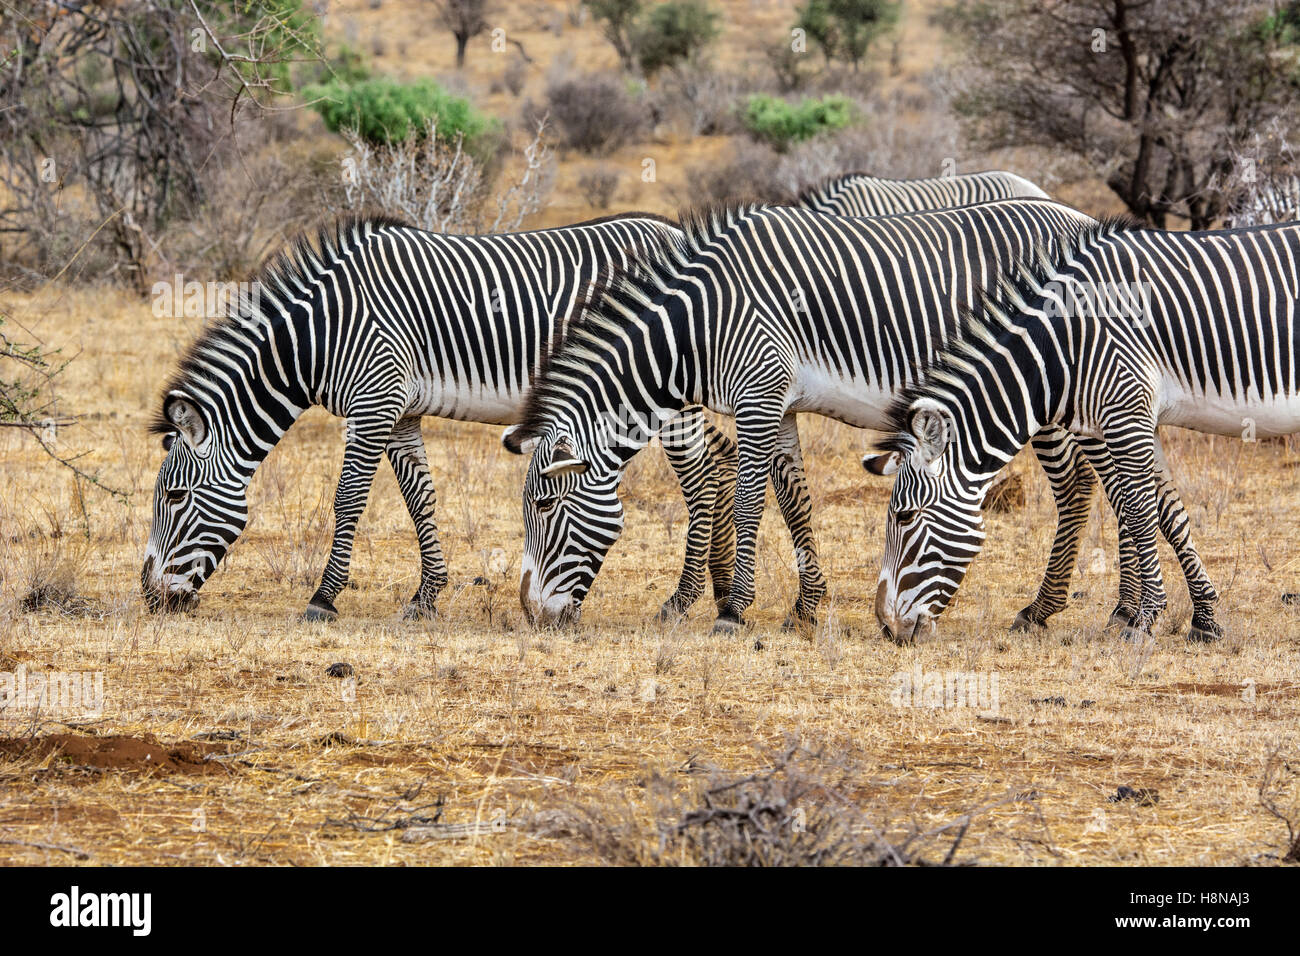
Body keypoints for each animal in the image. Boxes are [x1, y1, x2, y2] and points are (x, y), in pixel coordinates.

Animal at [141, 210, 754, 621]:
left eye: (173, 496)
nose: (148, 596)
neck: (319, 334)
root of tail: (677, 232)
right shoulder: (399, 411)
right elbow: (419, 498)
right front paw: (427, 595)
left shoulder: (373, 400)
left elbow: (349, 500)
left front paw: (323, 599)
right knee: (722, 462)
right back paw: (721, 589)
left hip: (660, 397)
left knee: (702, 479)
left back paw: (682, 600)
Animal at [496, 200, 1216, 634]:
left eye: (544, 507)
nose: (531, 615)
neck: (702, 320)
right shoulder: (780, 401)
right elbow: (793, 499)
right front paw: (806, 607)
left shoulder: (758, 393)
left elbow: (752, 498)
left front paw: (733, 608)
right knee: (1125, 488)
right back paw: (1138, 608)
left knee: (1084, 489)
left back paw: (1065, 609)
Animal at [863, 218, 1300, 642]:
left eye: (904, 516)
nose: (886, 627)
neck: (1066, 347)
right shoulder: (1139, 417)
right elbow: (1170, 514)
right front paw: (1205, 618)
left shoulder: (1126, 413)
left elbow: (1140, 512)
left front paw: (1144, 619)